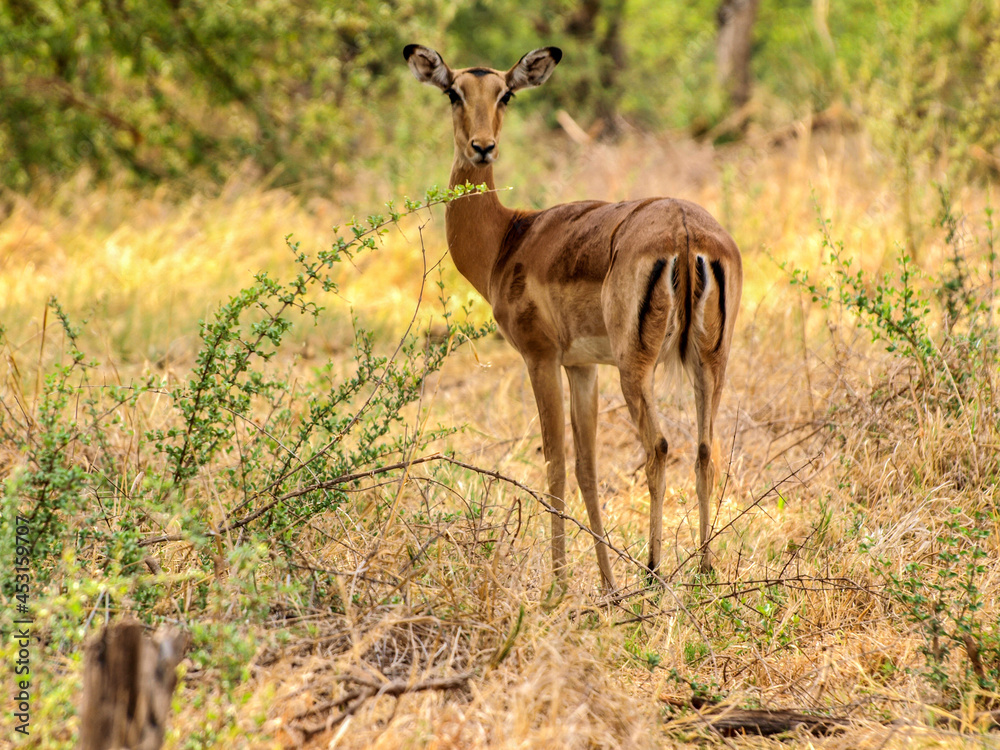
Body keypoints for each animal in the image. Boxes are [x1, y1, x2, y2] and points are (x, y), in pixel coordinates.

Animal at [403, 44, 742, 591]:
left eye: (506, 93)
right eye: (455, 92)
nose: (482, 147)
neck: (509, 239)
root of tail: (684, 230)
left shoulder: (540, 358)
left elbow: (555, 462)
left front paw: (559, 584)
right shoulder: (582, 367)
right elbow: (587, 466)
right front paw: (606, 584)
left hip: (636, 366)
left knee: (659, 446)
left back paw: (653, 571)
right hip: (710, 361)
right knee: (706, 450)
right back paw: (706, 572)